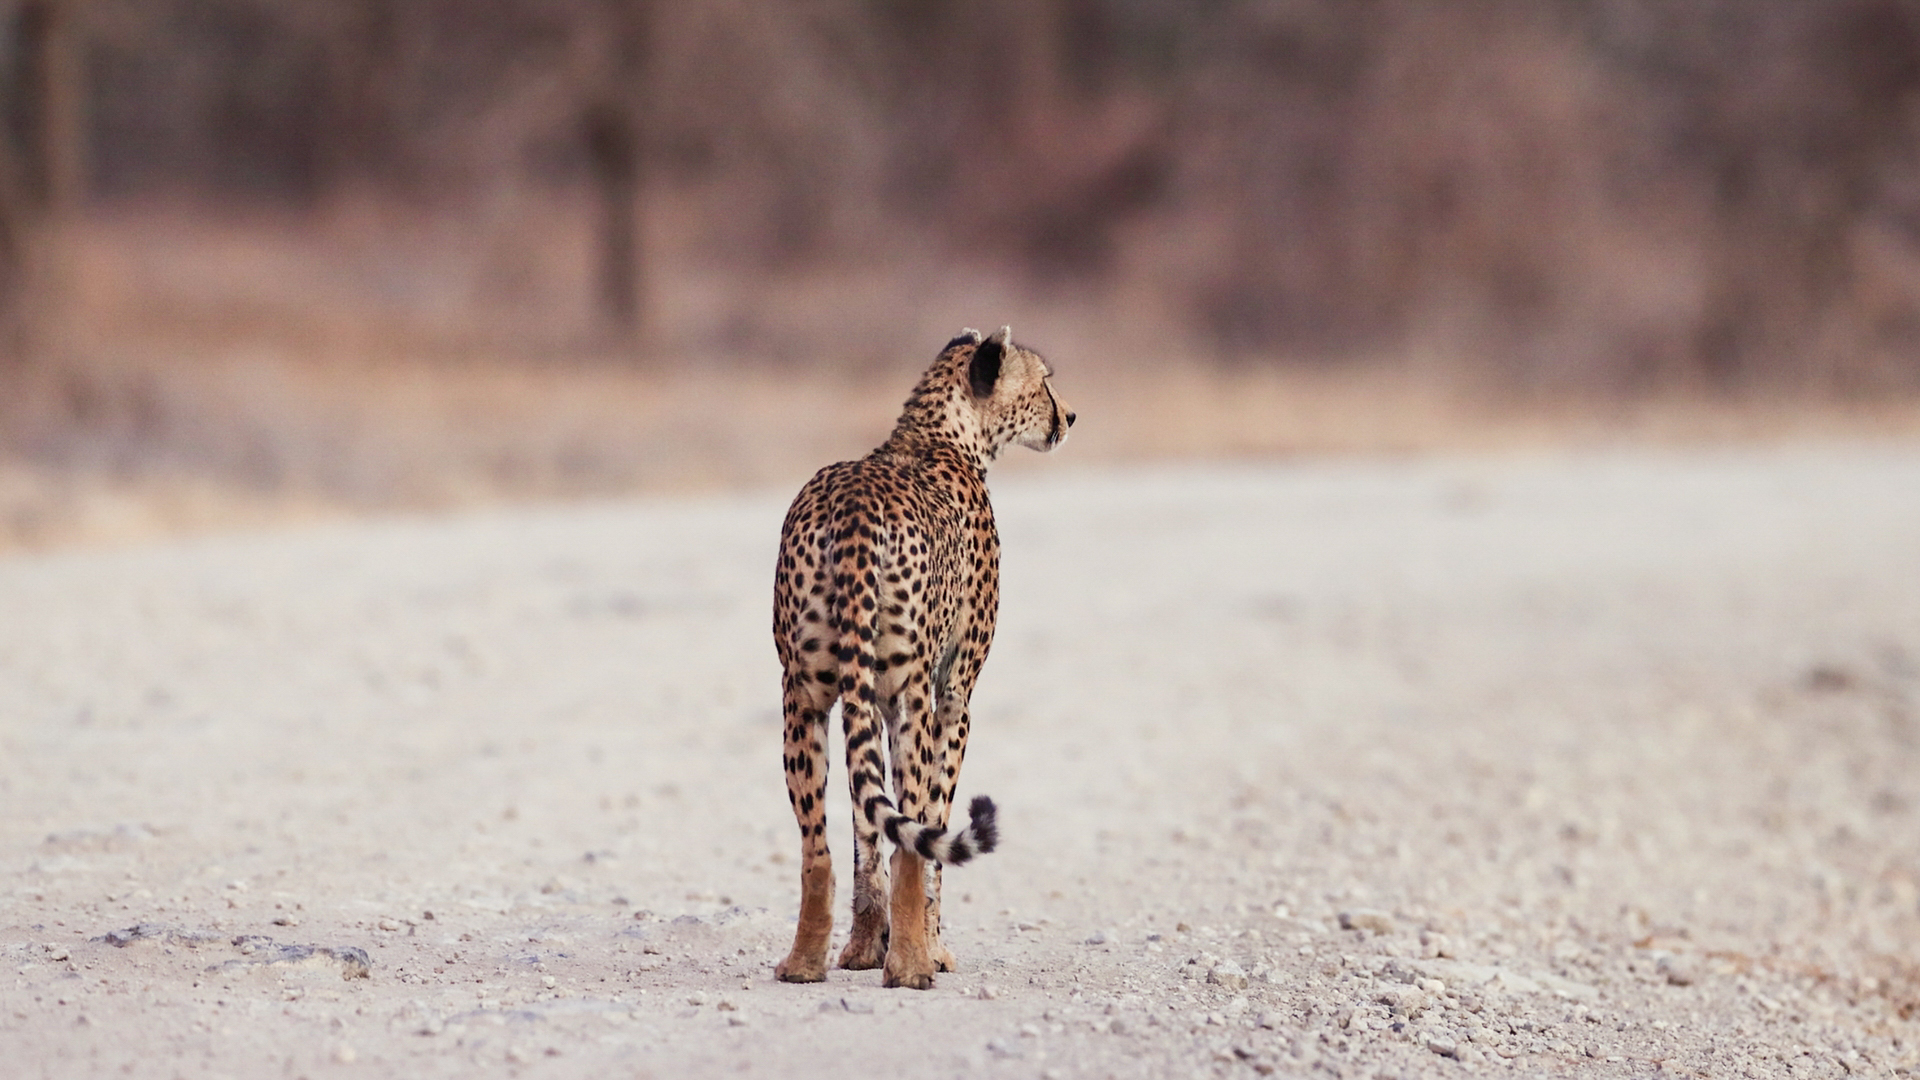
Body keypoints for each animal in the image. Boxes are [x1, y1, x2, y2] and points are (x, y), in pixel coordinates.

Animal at [771, 326, 1074, 990]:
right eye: (1043, 382)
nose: (1069, 415)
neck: (940, 433)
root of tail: (855, 502)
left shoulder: (859, 698)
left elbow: (866, 830)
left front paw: (863, 948)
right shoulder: (952, 694)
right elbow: (931, 820)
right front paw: (928, 947)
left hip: (803, 694)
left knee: (818, 846)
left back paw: (805, 962)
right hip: (909, 697)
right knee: (913, 834)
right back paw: (911, 967)